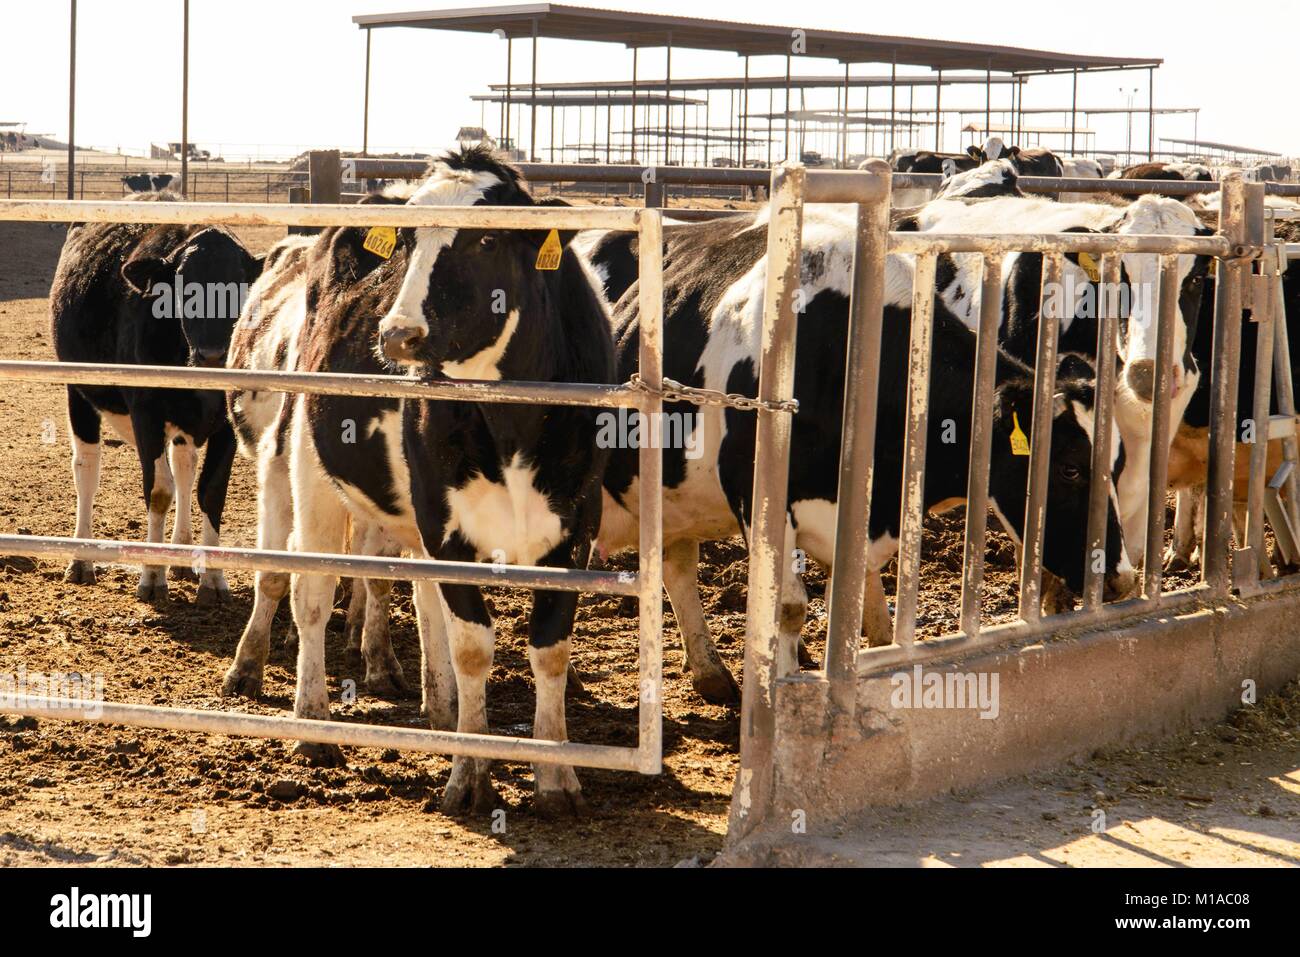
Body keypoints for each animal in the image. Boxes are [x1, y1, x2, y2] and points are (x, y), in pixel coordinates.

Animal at [49, 191, 261, 602]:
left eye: (240, 286)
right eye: (183, 287)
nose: (213, 355)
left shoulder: (228, 421)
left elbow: (211, 491)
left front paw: (213, 580)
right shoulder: (145, 410)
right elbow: (159, 491)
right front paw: (152, 576)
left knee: (184, 466)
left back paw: (181, 555)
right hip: (79, 391)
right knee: (86, 468)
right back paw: (82, 560)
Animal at [593, 204, 1134, 698]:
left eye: (1118, 466)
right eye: (1069, 469)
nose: (1121, 578)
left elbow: (869, 606)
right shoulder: (755, 492)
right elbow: (788, 608)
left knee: (677, 564)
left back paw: (710, 674)